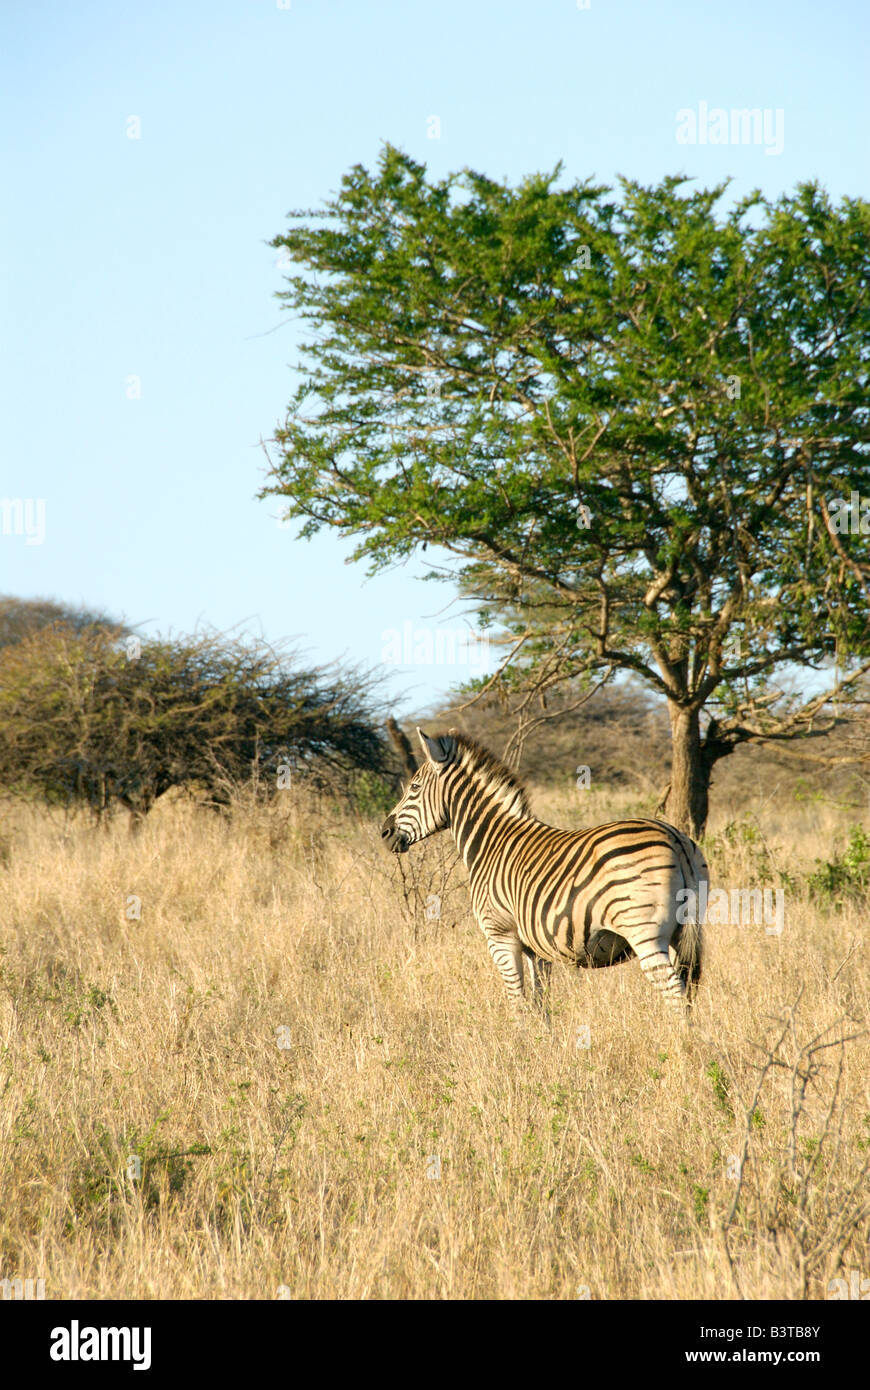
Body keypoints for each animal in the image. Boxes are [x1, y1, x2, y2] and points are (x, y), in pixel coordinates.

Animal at [381, 728, 708, 1011]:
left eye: (414, 788)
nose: (384, 833)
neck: (491, 842)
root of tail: (676, 838)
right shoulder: (535, 949)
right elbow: (541, 1003)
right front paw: (543, 1043)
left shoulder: (500, 935)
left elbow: (516, 1002)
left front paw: (518, 1043)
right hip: (683, 932)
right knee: (688, 990)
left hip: (645, 933)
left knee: (674, 992)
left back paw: (680, 1043)